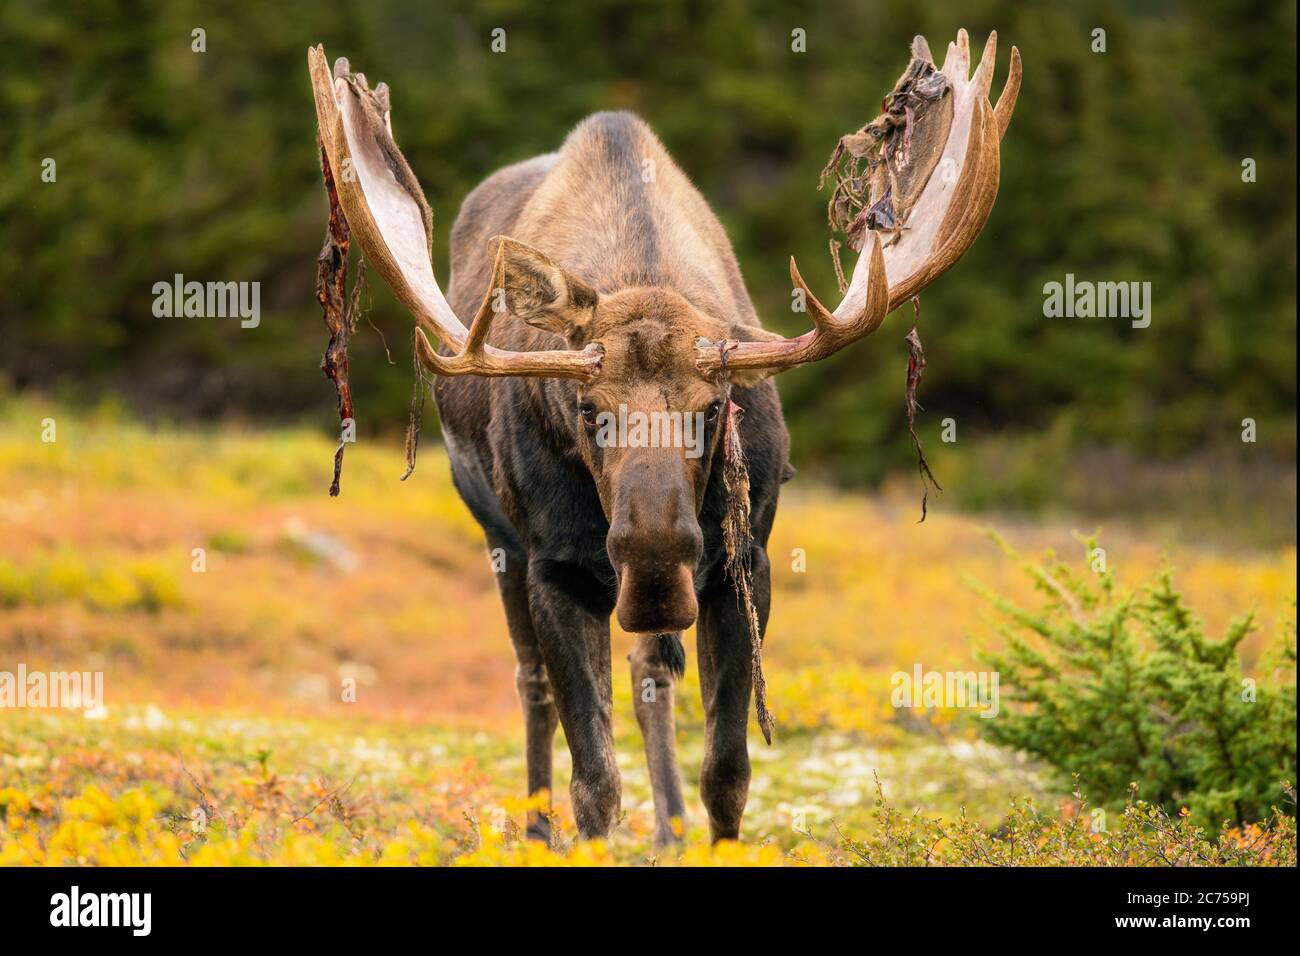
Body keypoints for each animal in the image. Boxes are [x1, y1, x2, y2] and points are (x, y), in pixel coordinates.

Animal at [307, 28, 1020, 847]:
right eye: (588, 408)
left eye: (712, 408)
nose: (652, 565)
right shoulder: (555, 566)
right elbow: (593, 780)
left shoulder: (745, 561)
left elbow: (728, 771)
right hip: (498, 537)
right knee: (531, 683)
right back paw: (538, 833)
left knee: (648, 674)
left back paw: (669, 831)